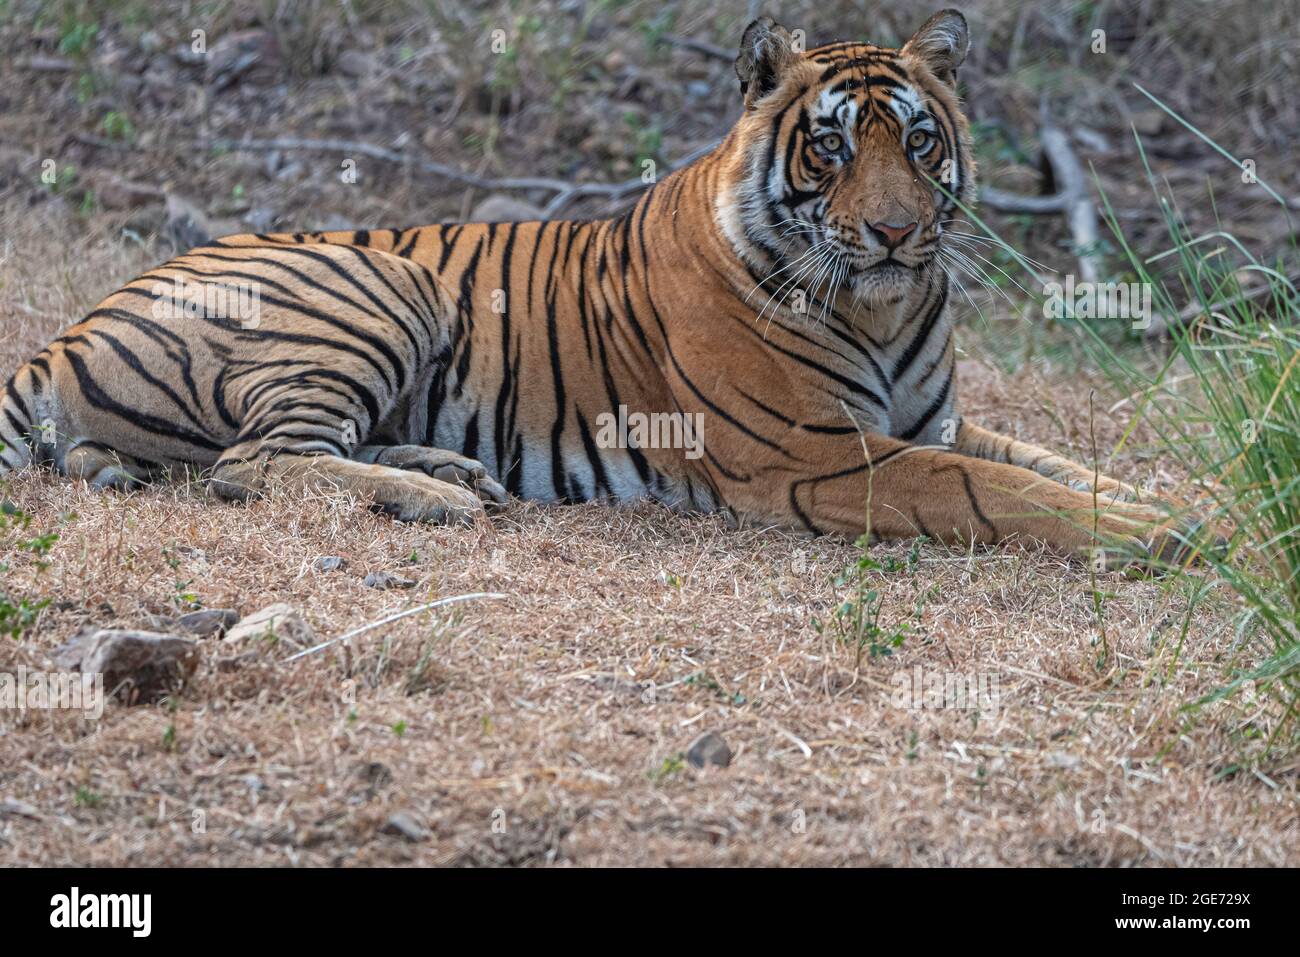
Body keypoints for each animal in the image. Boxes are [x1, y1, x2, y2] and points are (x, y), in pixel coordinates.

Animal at [0, 10, 1200, 565]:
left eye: (917, 141)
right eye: (830, 149)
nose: (898, 232)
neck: (885, 301)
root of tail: (63, 335)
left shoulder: (936, 420)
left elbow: (1053, 464)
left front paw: (1190, 506)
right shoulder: (818, 457)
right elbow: (995, 492)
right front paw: (1163, 537)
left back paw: (448, 471)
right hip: (380, 280)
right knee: (252, 465)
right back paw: (438, 498)